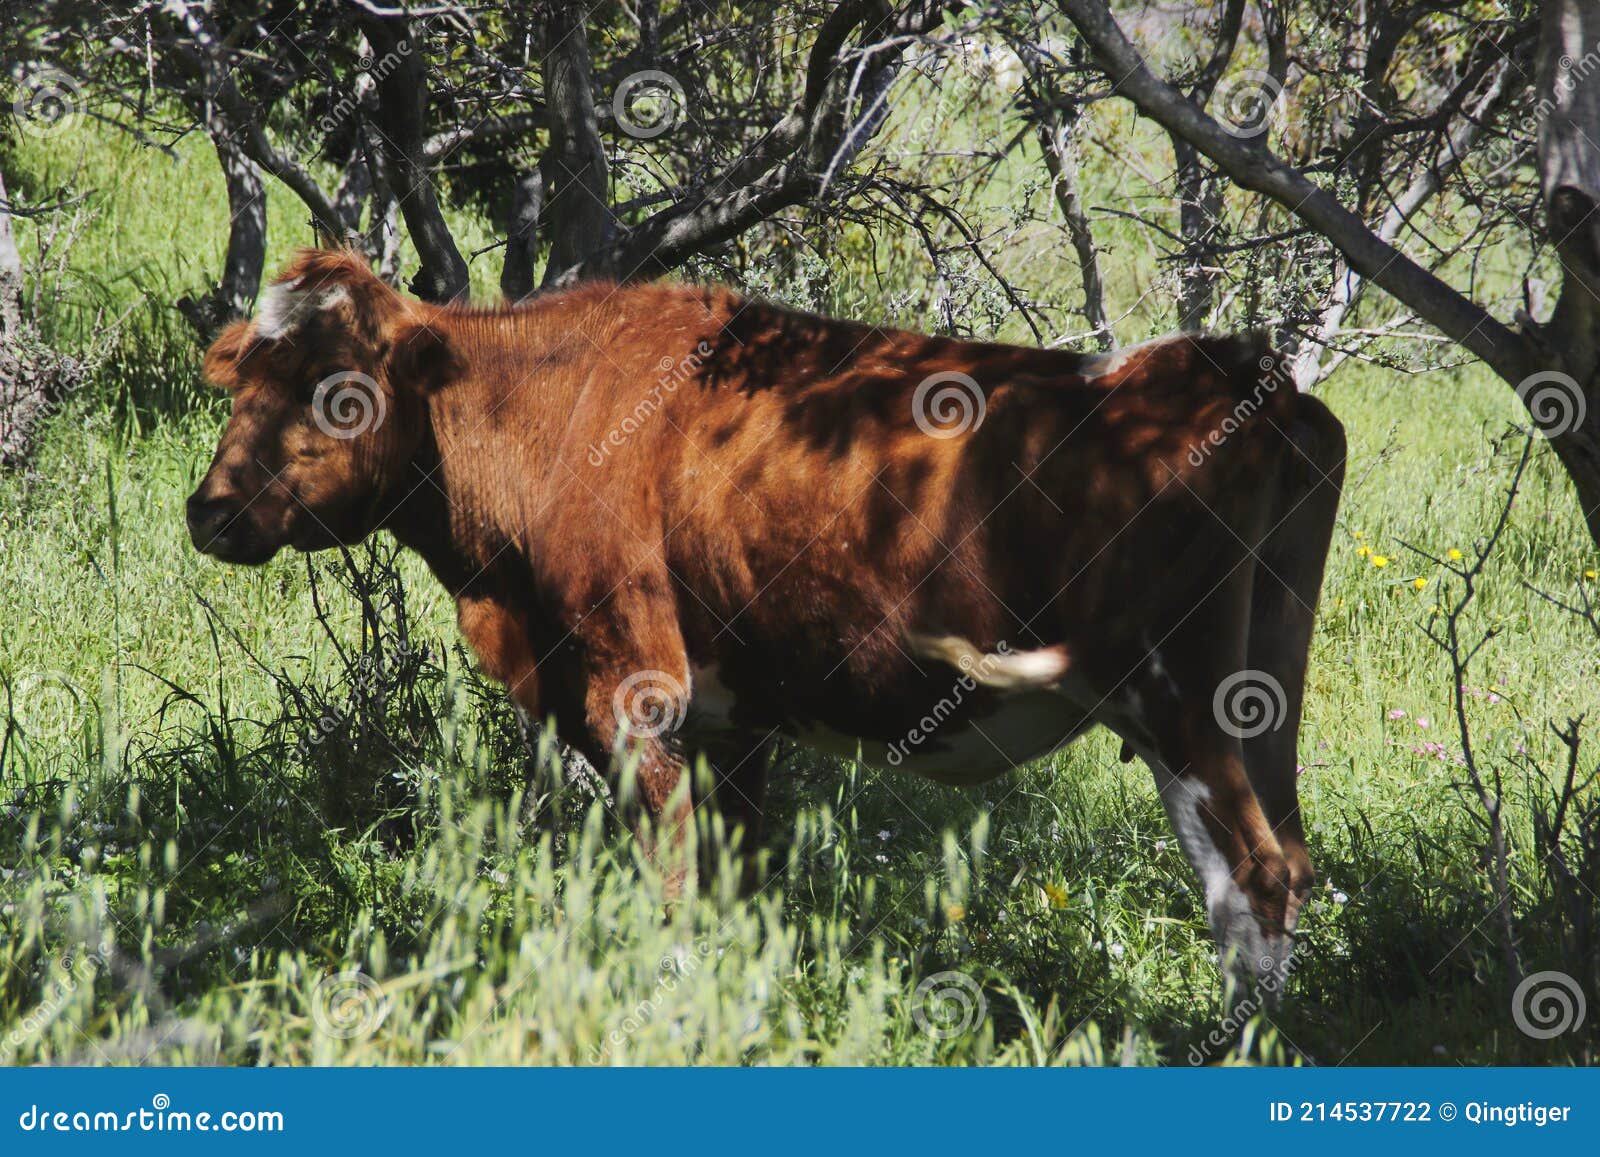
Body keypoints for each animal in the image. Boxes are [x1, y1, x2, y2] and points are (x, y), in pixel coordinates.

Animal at [187, 248, 1345, 997]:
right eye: (243, 377)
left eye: (340, 391)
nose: (208, 510)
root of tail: (1239, 372)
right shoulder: (728, 718)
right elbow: (735, 886)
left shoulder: (633, 688)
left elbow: (674, 882)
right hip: (1263, 694)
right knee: (1289, 858)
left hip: (1176, 696)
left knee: (1251, 876)